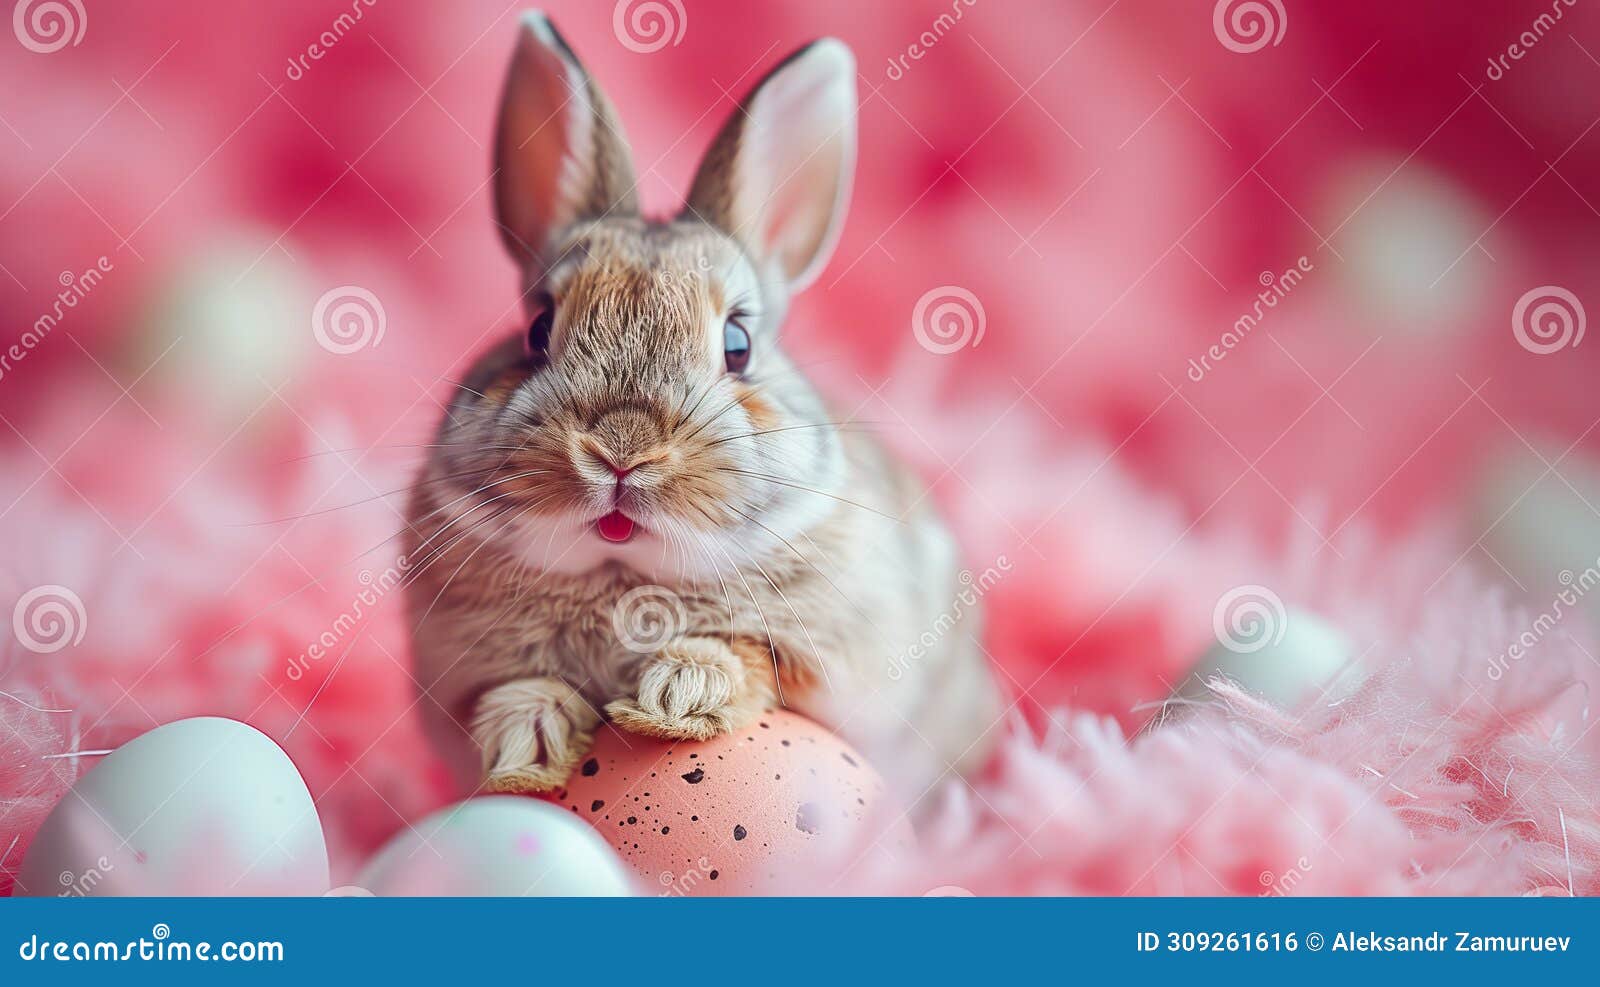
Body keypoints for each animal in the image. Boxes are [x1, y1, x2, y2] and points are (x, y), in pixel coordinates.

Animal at [404, 11, 1002, 799]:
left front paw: (678, 695)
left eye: (738, 342)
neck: (624, 575)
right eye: (536, 328)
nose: (621, 450)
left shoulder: (830, 658)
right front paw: (524, 738)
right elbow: (509, 691)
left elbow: (756, 659)